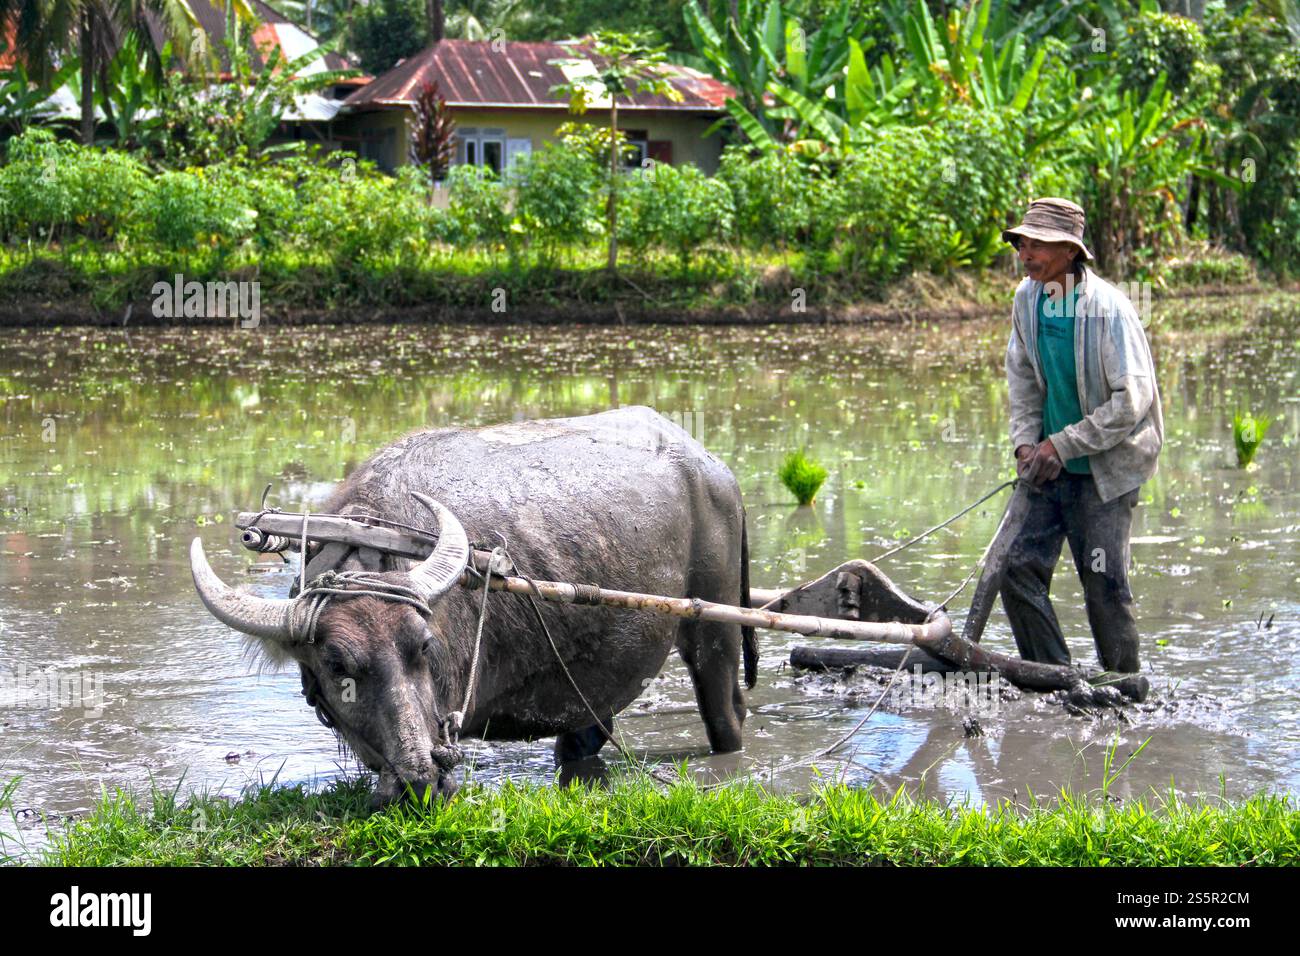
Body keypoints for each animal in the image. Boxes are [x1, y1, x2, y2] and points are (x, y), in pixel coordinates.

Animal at [191, 405, 756, 806]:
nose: (420, 780)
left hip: (715, 627)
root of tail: (717, 471)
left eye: (424, 646)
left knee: (726, 709)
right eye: (336, 666)